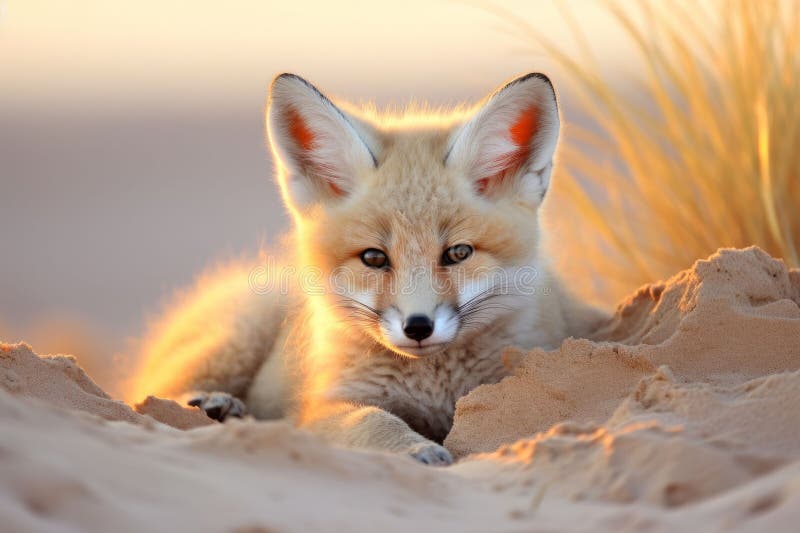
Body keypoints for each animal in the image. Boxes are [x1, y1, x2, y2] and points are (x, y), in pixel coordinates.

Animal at [131, 72, 606, 466]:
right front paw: (415, 449)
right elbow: (373, 421)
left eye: (457, 253)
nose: (418, 327)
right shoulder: (321, 408)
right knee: (153, 389)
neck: (432, 388)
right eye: (374, 258)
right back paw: (213, 404)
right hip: (237, 337)